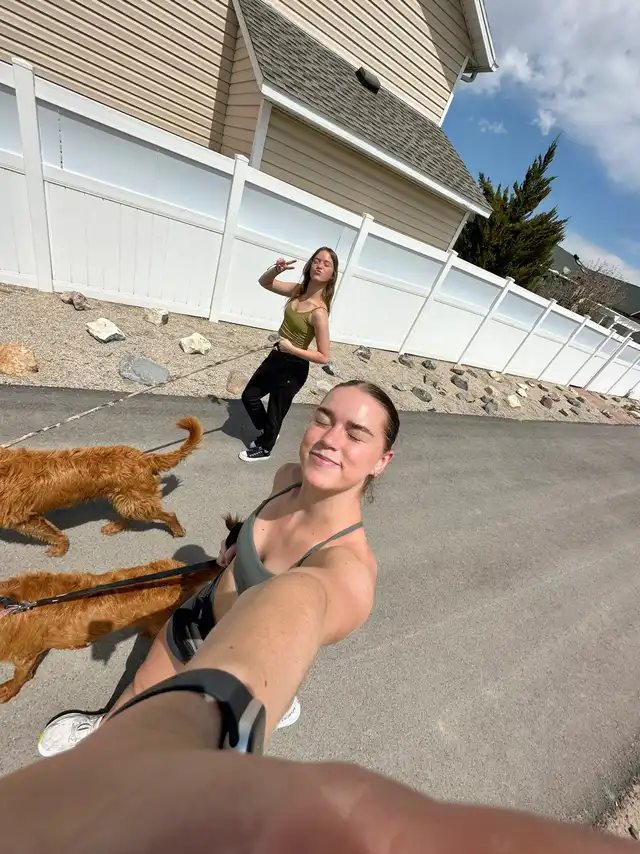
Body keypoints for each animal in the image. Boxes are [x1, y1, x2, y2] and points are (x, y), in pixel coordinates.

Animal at [0, 416, 203, 557]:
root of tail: (144, 458)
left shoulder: (21, 517)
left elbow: (53, 533)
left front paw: (60, 549)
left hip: (137, 500)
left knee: (168, 514)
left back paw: (177, 531)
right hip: (126, 497)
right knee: (127, 514)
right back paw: (114, 527)